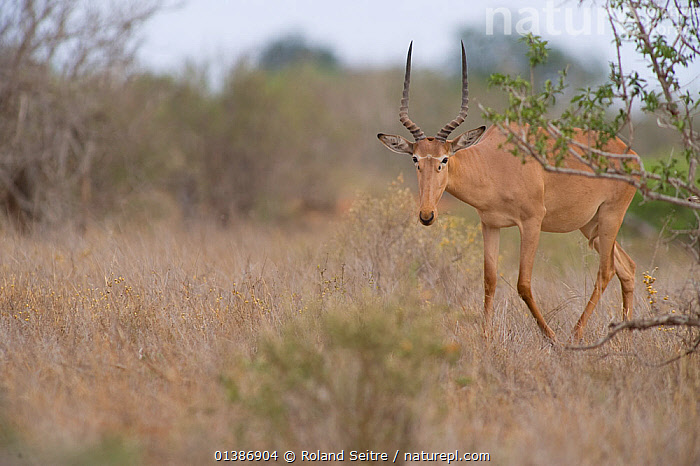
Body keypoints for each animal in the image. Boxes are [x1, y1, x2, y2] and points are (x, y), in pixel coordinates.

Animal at [377, 42, 637, 341]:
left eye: (444, 159)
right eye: (415, 159)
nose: (426, 215)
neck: (494, 162)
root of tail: (631, 154)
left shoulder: (532, 223)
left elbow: (523, 283)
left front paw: (551, 337)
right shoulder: (490, 224)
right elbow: (489, 280)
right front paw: (485, 337)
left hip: (610, 217)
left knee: (606, 271)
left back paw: (575, 334)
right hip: (590, 225)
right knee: (627, 268)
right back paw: (625, 336)